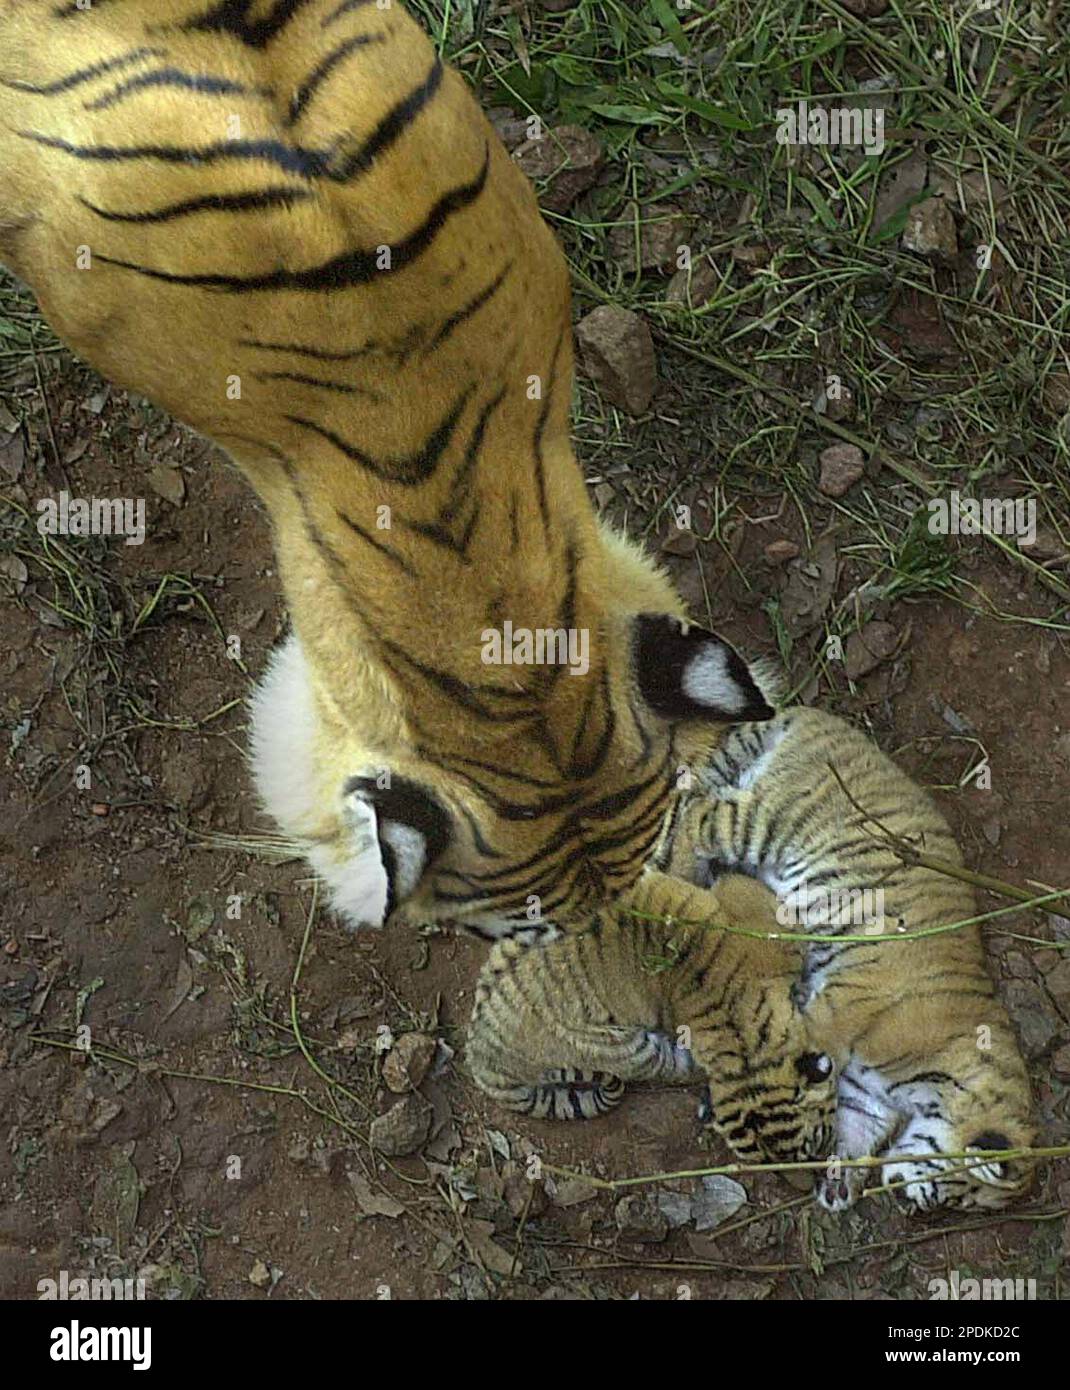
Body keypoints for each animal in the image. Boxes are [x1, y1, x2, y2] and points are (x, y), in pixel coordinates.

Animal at [653, 706, 1036, 1212]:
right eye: (956, 1193)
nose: (912, 1203)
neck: (941, 1084)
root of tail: (813, 715)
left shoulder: (866, 1096)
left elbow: (854, 1133)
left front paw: (838, 1184)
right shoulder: (840, 1008)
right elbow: (802, 1045)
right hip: (761, 822)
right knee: (695, 816)